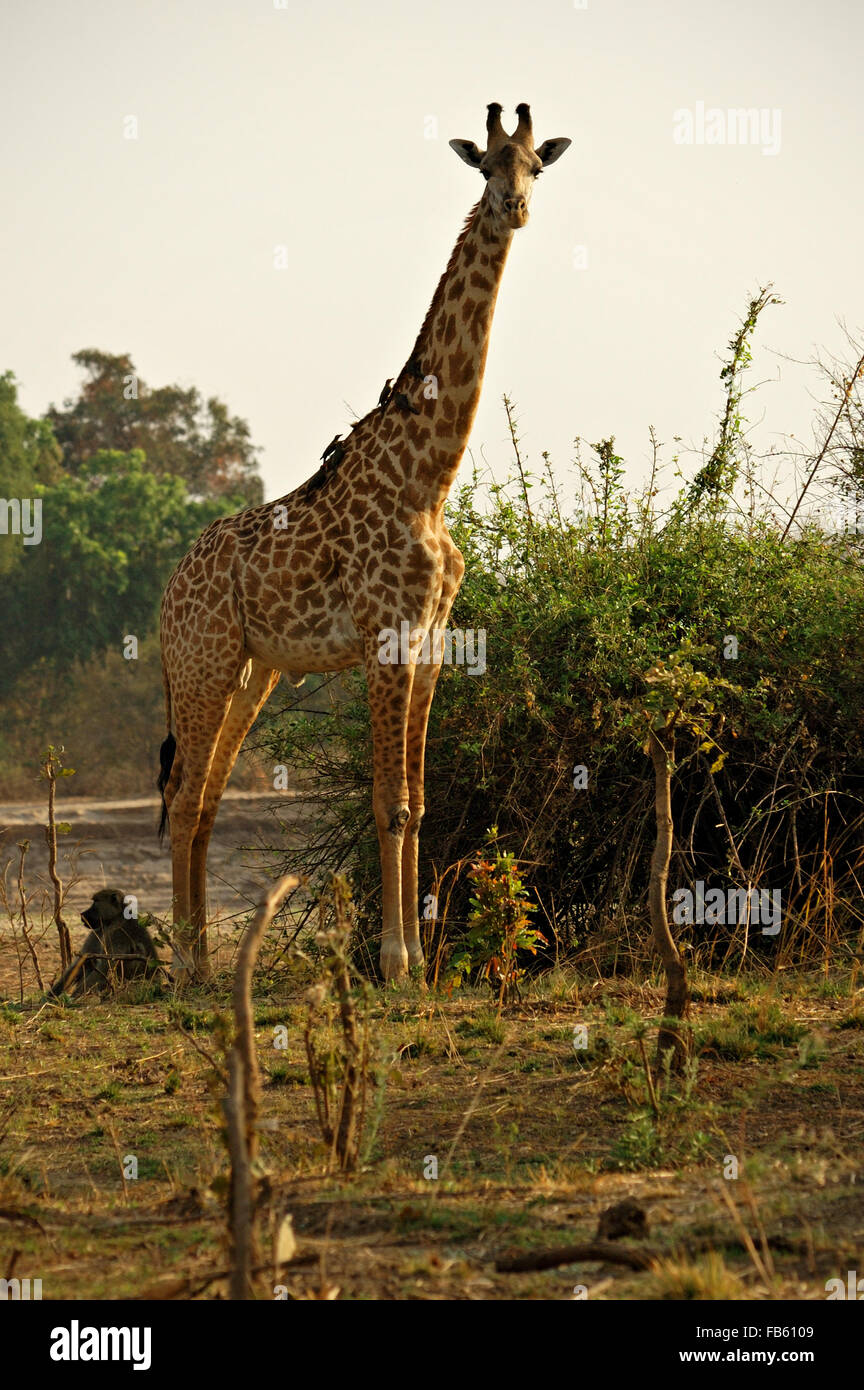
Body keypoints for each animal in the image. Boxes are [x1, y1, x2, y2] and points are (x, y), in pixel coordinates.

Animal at [158, 102, 571, 982]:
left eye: (535, 167)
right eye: (486, 165)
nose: (514, 207)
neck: (430, 477)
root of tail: (168, 590)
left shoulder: (432, 638)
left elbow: (416, 803)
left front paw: (418, 962)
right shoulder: (386, 634)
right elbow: (386, 803)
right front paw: (395, 961)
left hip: (251, 672)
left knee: (205, 799)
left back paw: (205, 961)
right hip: (203, 662)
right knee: (182, 798)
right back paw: (183, 966)